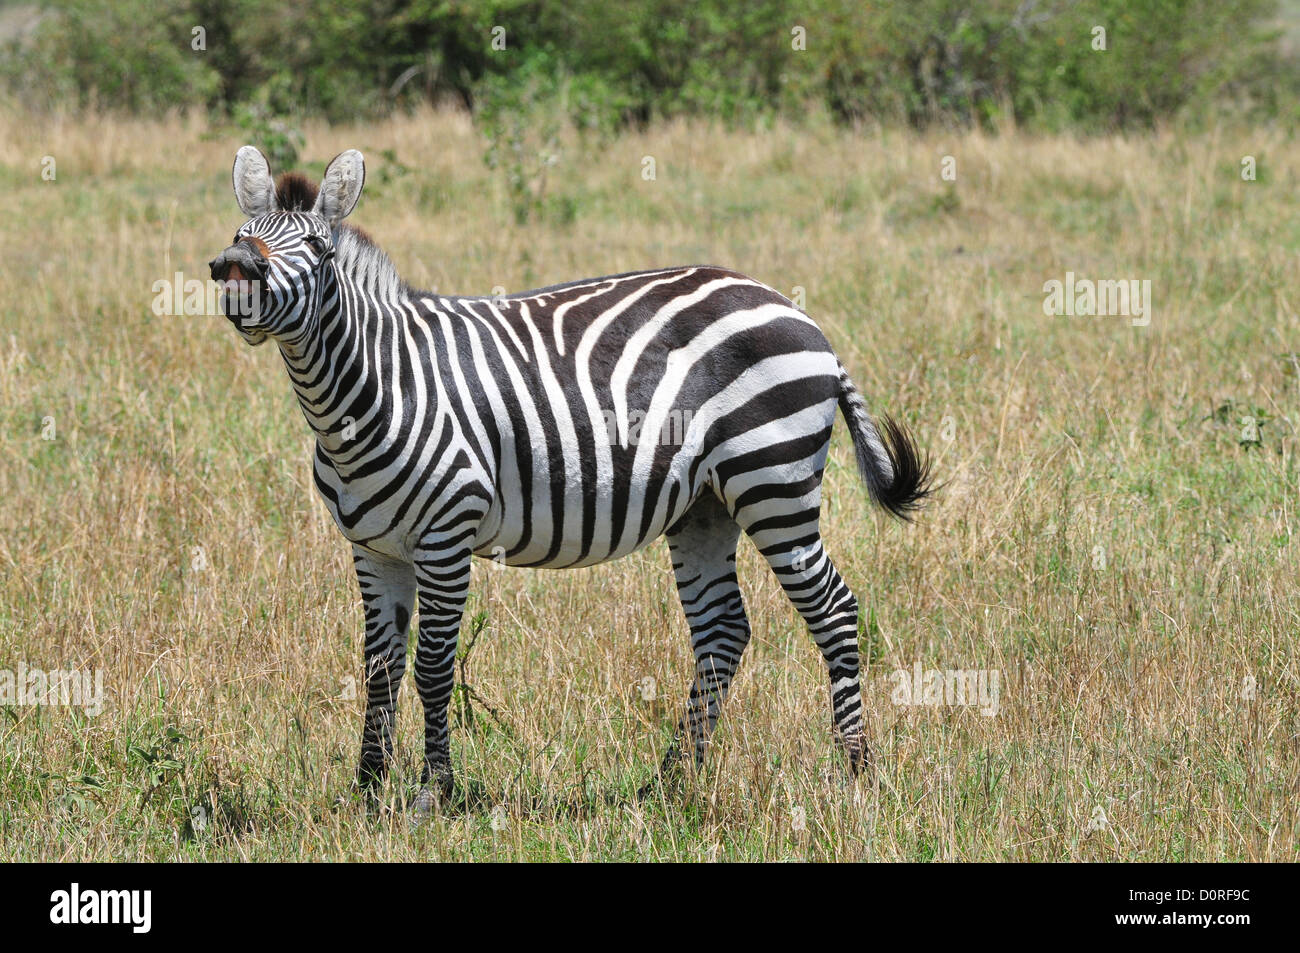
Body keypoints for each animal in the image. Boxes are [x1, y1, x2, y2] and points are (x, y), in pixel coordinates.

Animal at [208, 146, 932, 809]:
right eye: (243, 233)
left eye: (319, 249)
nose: (236, 270)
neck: (373, 390)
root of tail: (794, 309)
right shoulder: (373, 547)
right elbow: (378, 669)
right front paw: (366, 794)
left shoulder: (446, 536)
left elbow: (434, 667)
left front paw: (433, 794)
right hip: (705, 506)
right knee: (723, 631)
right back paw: (670, 784)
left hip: (772, 481)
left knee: (834, 610)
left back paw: (855, 774)